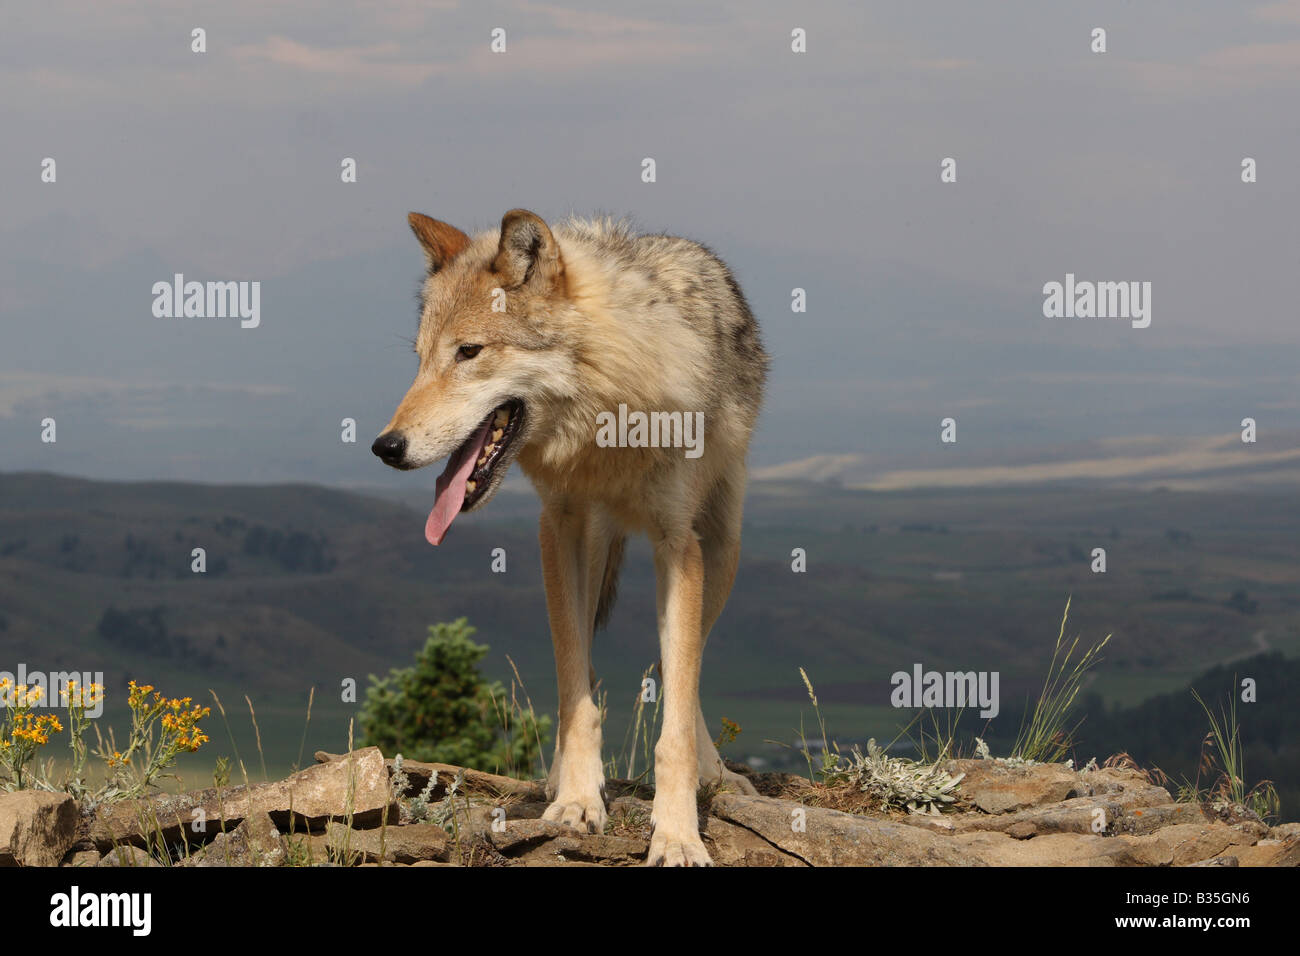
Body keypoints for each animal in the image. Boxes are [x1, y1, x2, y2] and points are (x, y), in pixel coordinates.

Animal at [372, 209, 768, 866]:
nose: (386, 446)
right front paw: (578, 801)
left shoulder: (677, 544)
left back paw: (717, 774)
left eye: (469, 352)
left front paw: (678, 834)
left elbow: (675, 717)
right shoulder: (558, 528)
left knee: (689, 677)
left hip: (723, 549)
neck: (601, 425)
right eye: (421, 358)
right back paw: (560, 778)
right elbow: (573, 688)